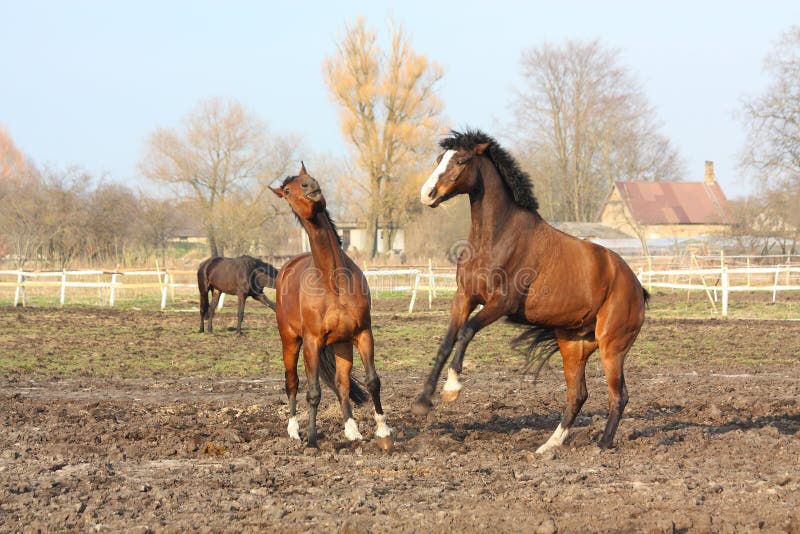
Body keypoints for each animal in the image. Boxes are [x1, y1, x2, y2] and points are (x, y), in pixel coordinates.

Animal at [269, 163, 391, 448]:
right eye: (287, 190)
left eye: (307, 176)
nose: (310, 186)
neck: (334, 280)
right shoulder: (312, 342)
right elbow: (313, 392)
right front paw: (312, 439)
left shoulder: (363, 334)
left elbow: (372, 381)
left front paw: (382, 431)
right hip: (291, 341)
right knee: (292, 382)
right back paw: (294, 430)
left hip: (341, 343)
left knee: (341, 382)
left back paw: (352, 430)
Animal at [411, 129, 649, 452]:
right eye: (439, 159)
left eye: (460, 160)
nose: (428, 193)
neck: (497, 237)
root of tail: (636, 286)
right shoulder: (464, 298)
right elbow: (447, 342)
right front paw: (423, 401)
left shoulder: (500, 304)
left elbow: (467, 332)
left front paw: (452, 388)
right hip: (573, 345)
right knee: (578, 395)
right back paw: (548, 447)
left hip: (612, 347)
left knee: (618, 396)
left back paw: (602, 444)